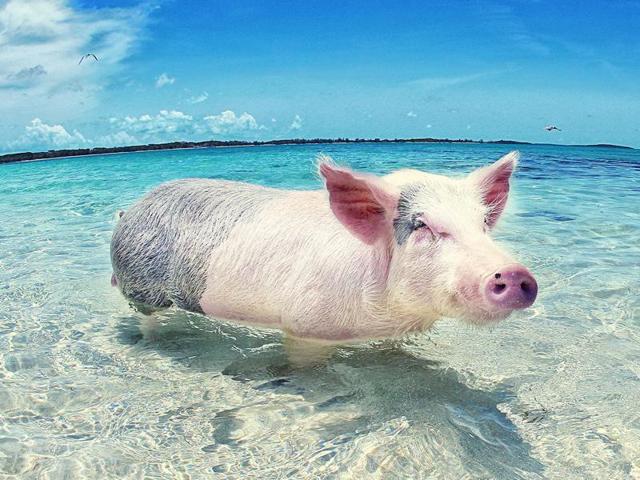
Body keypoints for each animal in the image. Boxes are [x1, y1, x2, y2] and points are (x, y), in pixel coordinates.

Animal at [110, 151, 537, 343]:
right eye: (423, 226)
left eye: (482, 225)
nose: (517, 274)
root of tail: (130, 211)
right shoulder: (306, 325)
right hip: (141, 285)